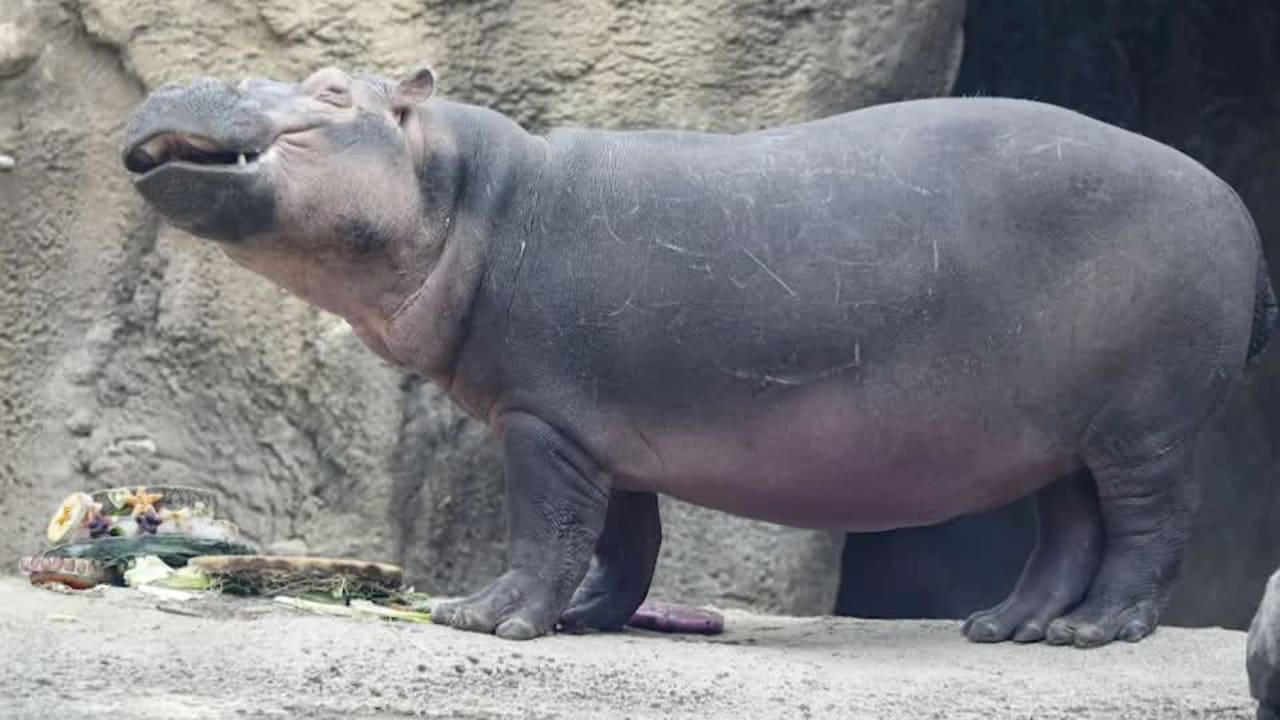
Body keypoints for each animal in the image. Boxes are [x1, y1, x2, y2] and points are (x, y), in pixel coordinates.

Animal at [122, 65, 1276, 646]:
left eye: (330, 92)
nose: (179, 79)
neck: (468, 193)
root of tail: (1236, 206)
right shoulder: (598, 431)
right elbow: (623, 542)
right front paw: (586, 621)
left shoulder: (541, 423)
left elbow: (548, 532)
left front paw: (483, 619)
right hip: (1061, 431)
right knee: (1069, 529)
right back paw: (1005, 627)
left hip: (1144, 424)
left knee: (1147, 527)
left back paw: (1097, 633)